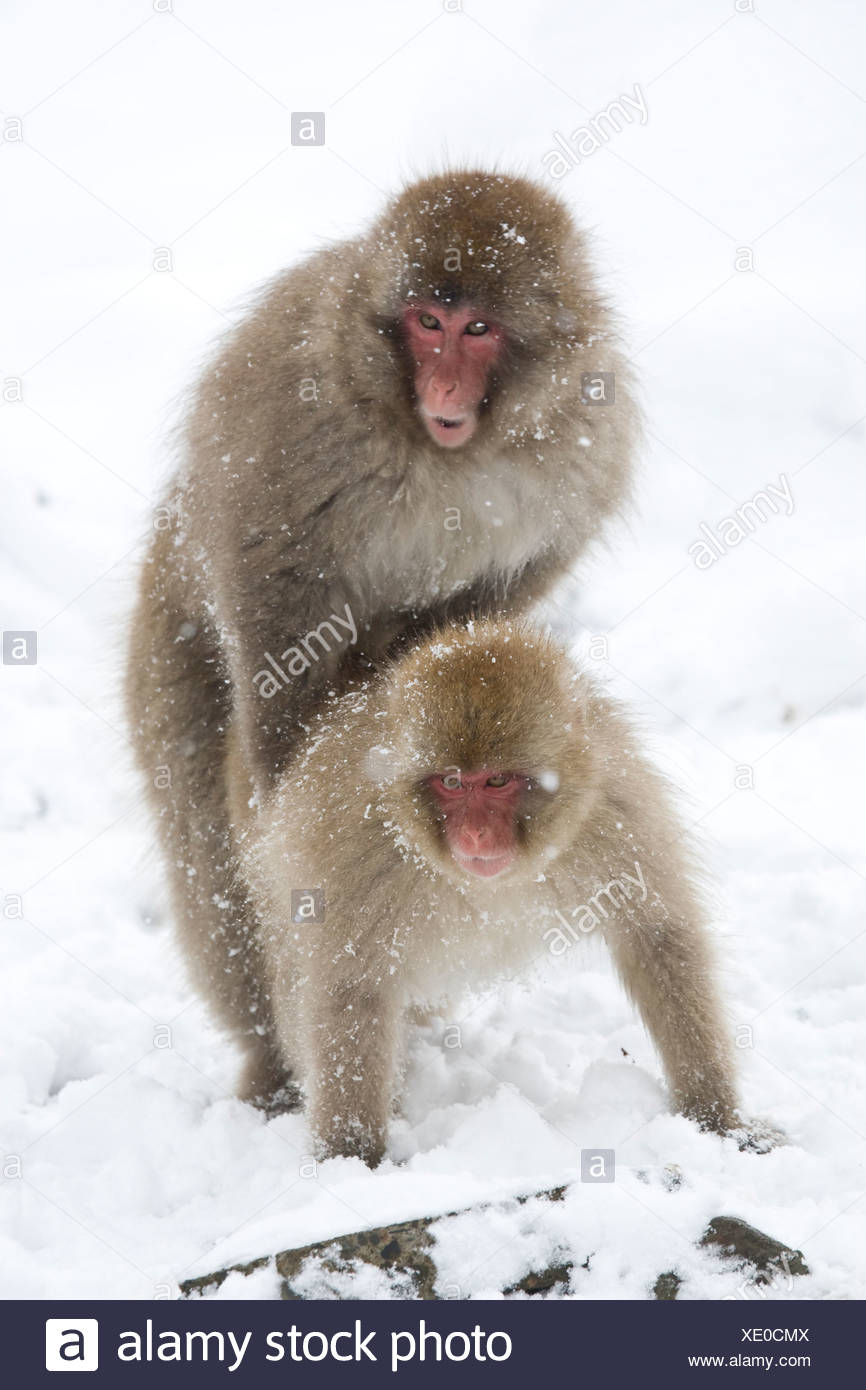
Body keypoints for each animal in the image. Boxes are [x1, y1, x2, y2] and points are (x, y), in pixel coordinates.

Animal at [126, 169, 639, 1103]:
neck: (447, 454)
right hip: (167, 651)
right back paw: (274, 1058)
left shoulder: (586, 438)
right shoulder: (290, 402)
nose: (443, 390)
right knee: (209, 846)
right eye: (425, 323)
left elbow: (508, 590)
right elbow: (274, 594)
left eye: (478, 329)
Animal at [228, 620, 739, 1166]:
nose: (474, 835)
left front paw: (715, 1113)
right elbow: (350, 990)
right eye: (452, 782)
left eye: (497, 780)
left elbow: (658, 936)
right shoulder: (351, 853)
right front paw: (353, 1155)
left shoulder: (615, 811)